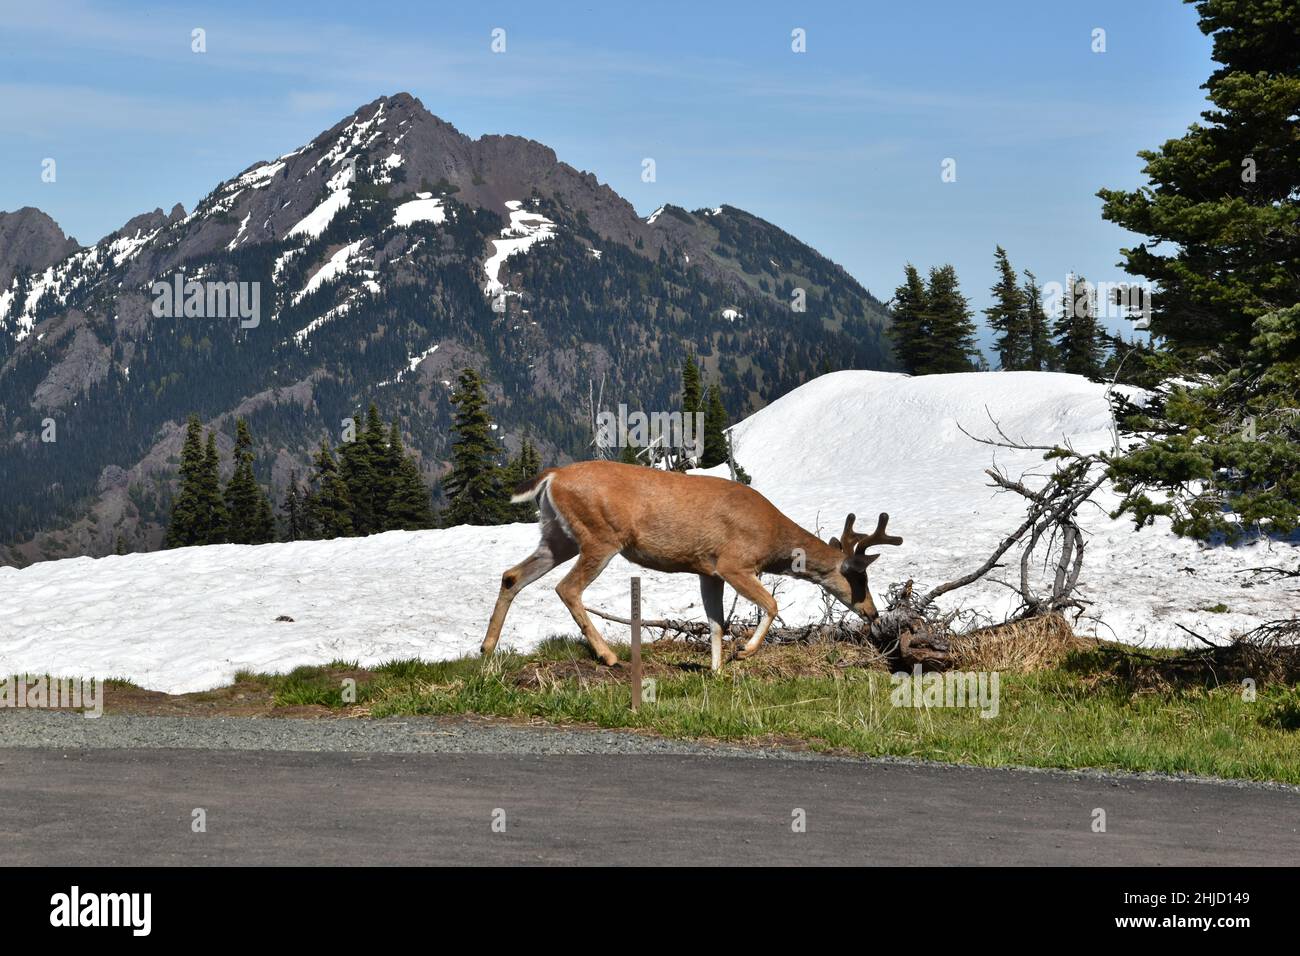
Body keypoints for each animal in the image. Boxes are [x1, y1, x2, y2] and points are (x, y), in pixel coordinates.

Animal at [481, 460, 902, 670]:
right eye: (859, 576)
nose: (872, 611)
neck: (772, 540)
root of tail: (552, 477)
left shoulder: (707, 570)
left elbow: (716, 623)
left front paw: (716, 672)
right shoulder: (734, 563)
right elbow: (771, 604)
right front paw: (743, 654)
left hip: (558, 536)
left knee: (512, 575)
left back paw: (487, 648)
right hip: (600, 537)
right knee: (567, 588)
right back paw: (609, 656)